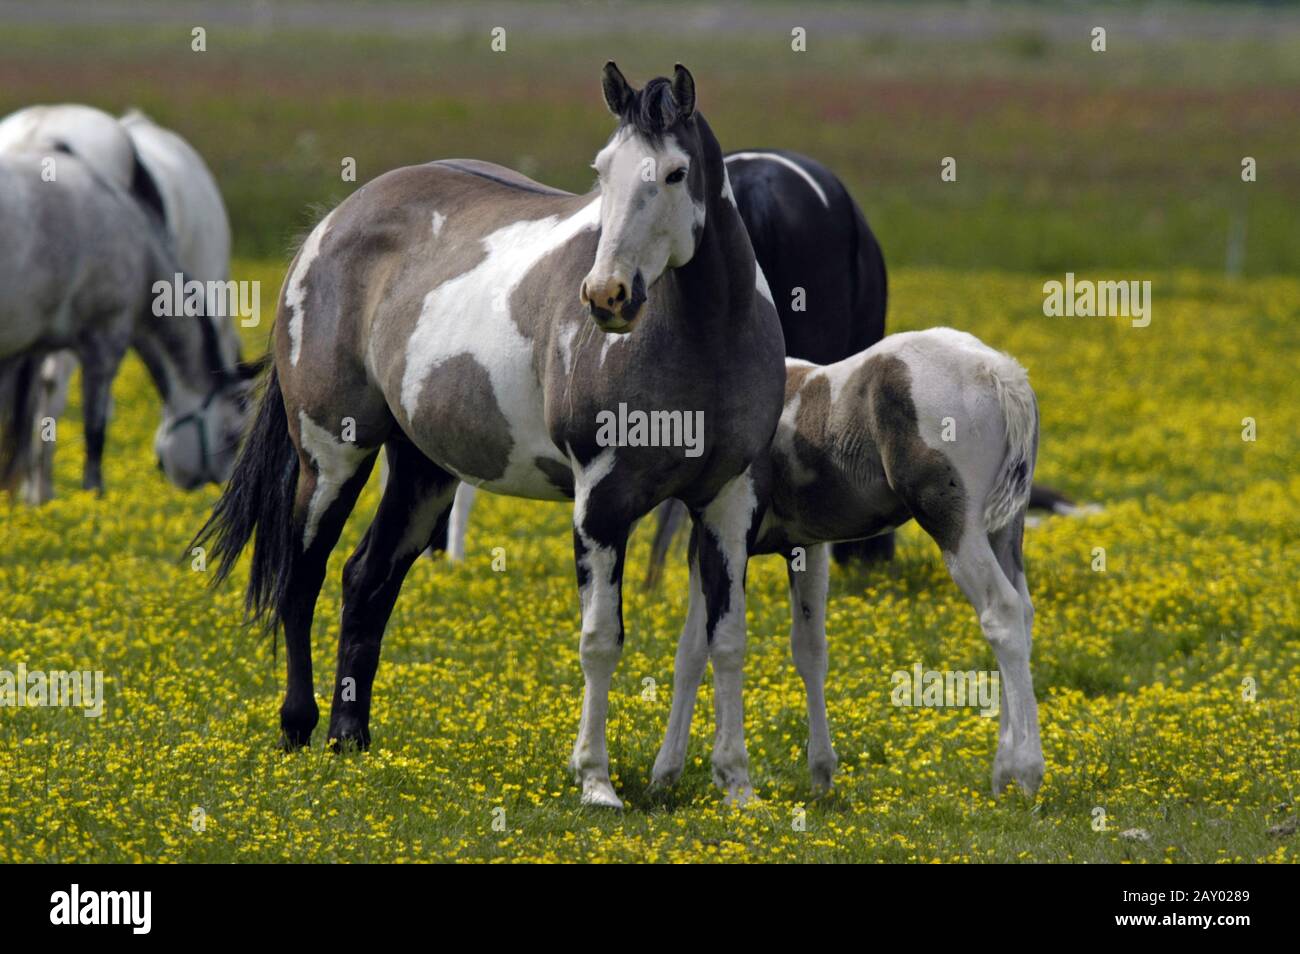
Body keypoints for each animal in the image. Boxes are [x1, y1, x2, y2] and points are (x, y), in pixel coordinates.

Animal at [193, 63, 787, 809]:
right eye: (603, 171)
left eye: (677, 173)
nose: (607, 296)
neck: (705, 335)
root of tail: (332, 224)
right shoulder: (601, 504)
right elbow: (601, 639)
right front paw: (596, 783)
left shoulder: (727, 503)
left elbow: (728, 640)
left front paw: (738, 789)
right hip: (332, 456)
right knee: (304, 577)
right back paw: (297, 727)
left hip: (423, 474)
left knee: (366, 580)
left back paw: (349, 739)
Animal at [650, 328, 1047, 797]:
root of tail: (998, 371)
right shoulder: (802, 549)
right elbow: (791, 650)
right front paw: (820, 773)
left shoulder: (720, 540)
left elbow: (712, 645)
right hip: (1002, 530)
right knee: (1023, 612)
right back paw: (1004, 771)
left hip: (957, 530)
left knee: (1001, 613)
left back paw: (1026, 770)